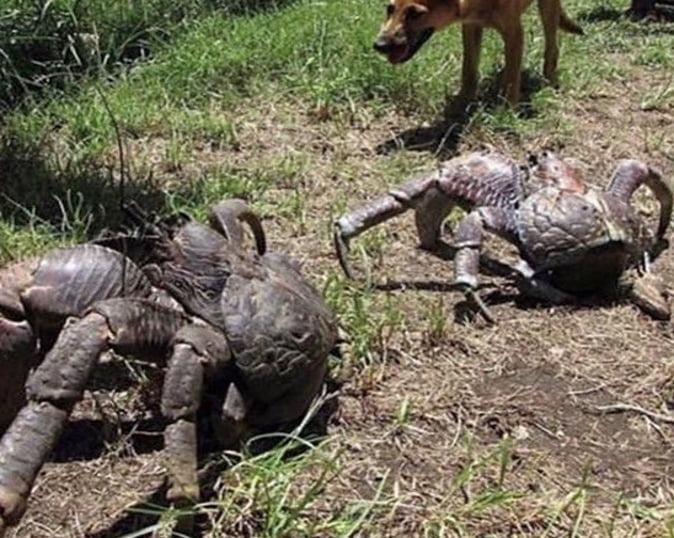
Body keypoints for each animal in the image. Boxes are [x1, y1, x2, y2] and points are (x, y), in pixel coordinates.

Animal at [372, 0, 584, 105]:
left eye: (415, 13)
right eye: (389, 9)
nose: (378, 45)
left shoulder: (514, 33)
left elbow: (511, 79)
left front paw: (508, 111)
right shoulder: (471, 26)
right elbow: (469, 68)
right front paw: (463, 101)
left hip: (547, 9)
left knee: (552, 46)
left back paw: (550, 79)